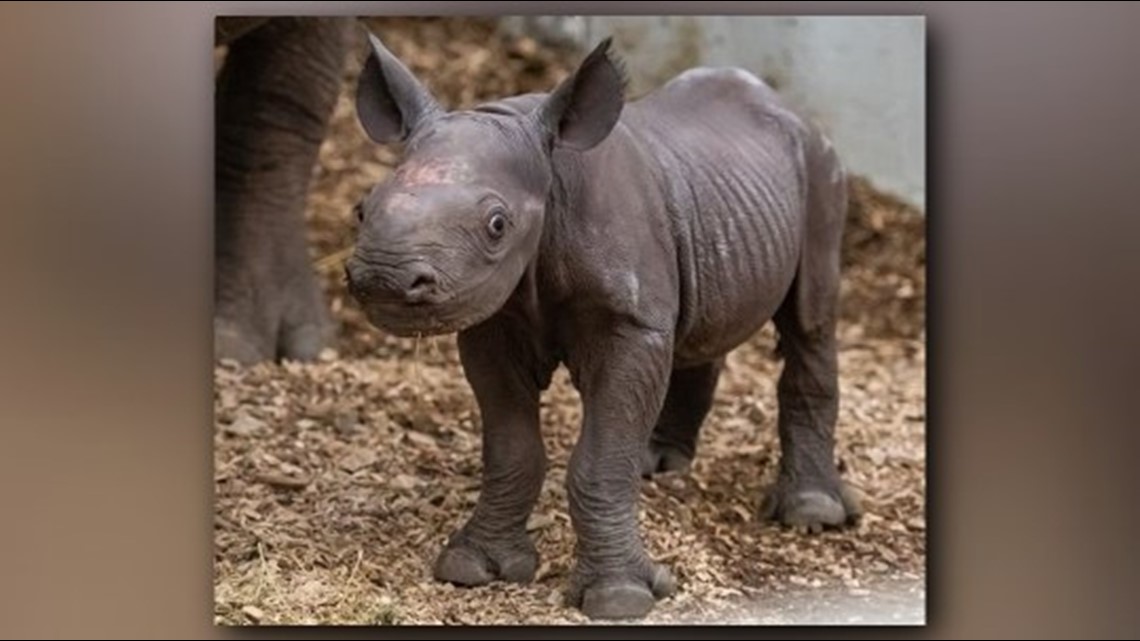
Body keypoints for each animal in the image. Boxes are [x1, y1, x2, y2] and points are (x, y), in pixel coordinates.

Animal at [345, 31, 862, 620]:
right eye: (362, 209)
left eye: (497, 225)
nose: (384, 279)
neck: (550, 177)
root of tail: (789, 109)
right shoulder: (492, 321)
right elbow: (511, 449)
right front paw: (475, 567)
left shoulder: (629, 325)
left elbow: (599, 460)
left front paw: (620, 597)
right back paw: (659, 464)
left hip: (821, 171)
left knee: (810, 318)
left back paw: (812, 514)